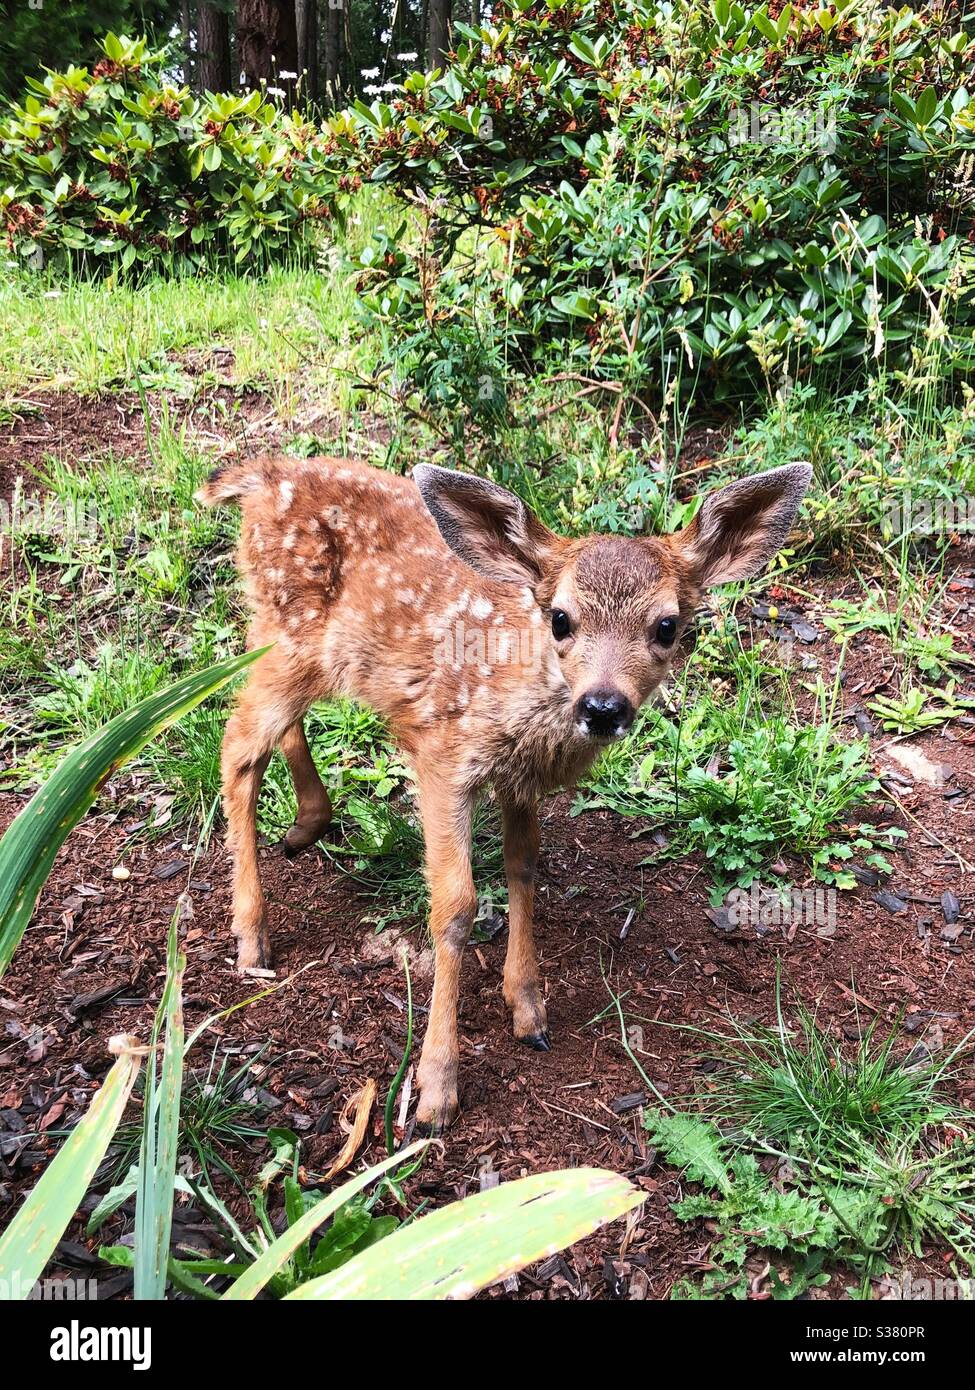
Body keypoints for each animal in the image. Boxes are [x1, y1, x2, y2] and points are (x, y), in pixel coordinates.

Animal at [198, 454, 811, 1131]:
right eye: (561, 619)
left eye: (668, 626)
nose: (603, 707)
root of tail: (262, 473)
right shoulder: (444, 758)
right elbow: (456, 907)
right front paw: (436, 1089)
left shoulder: (522, 781)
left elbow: (523, 868)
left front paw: (528, 1007)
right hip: (289, 633)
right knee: (237, 745)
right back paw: (251, 932)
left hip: (294, 647)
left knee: (269, 726)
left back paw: (306, 826)